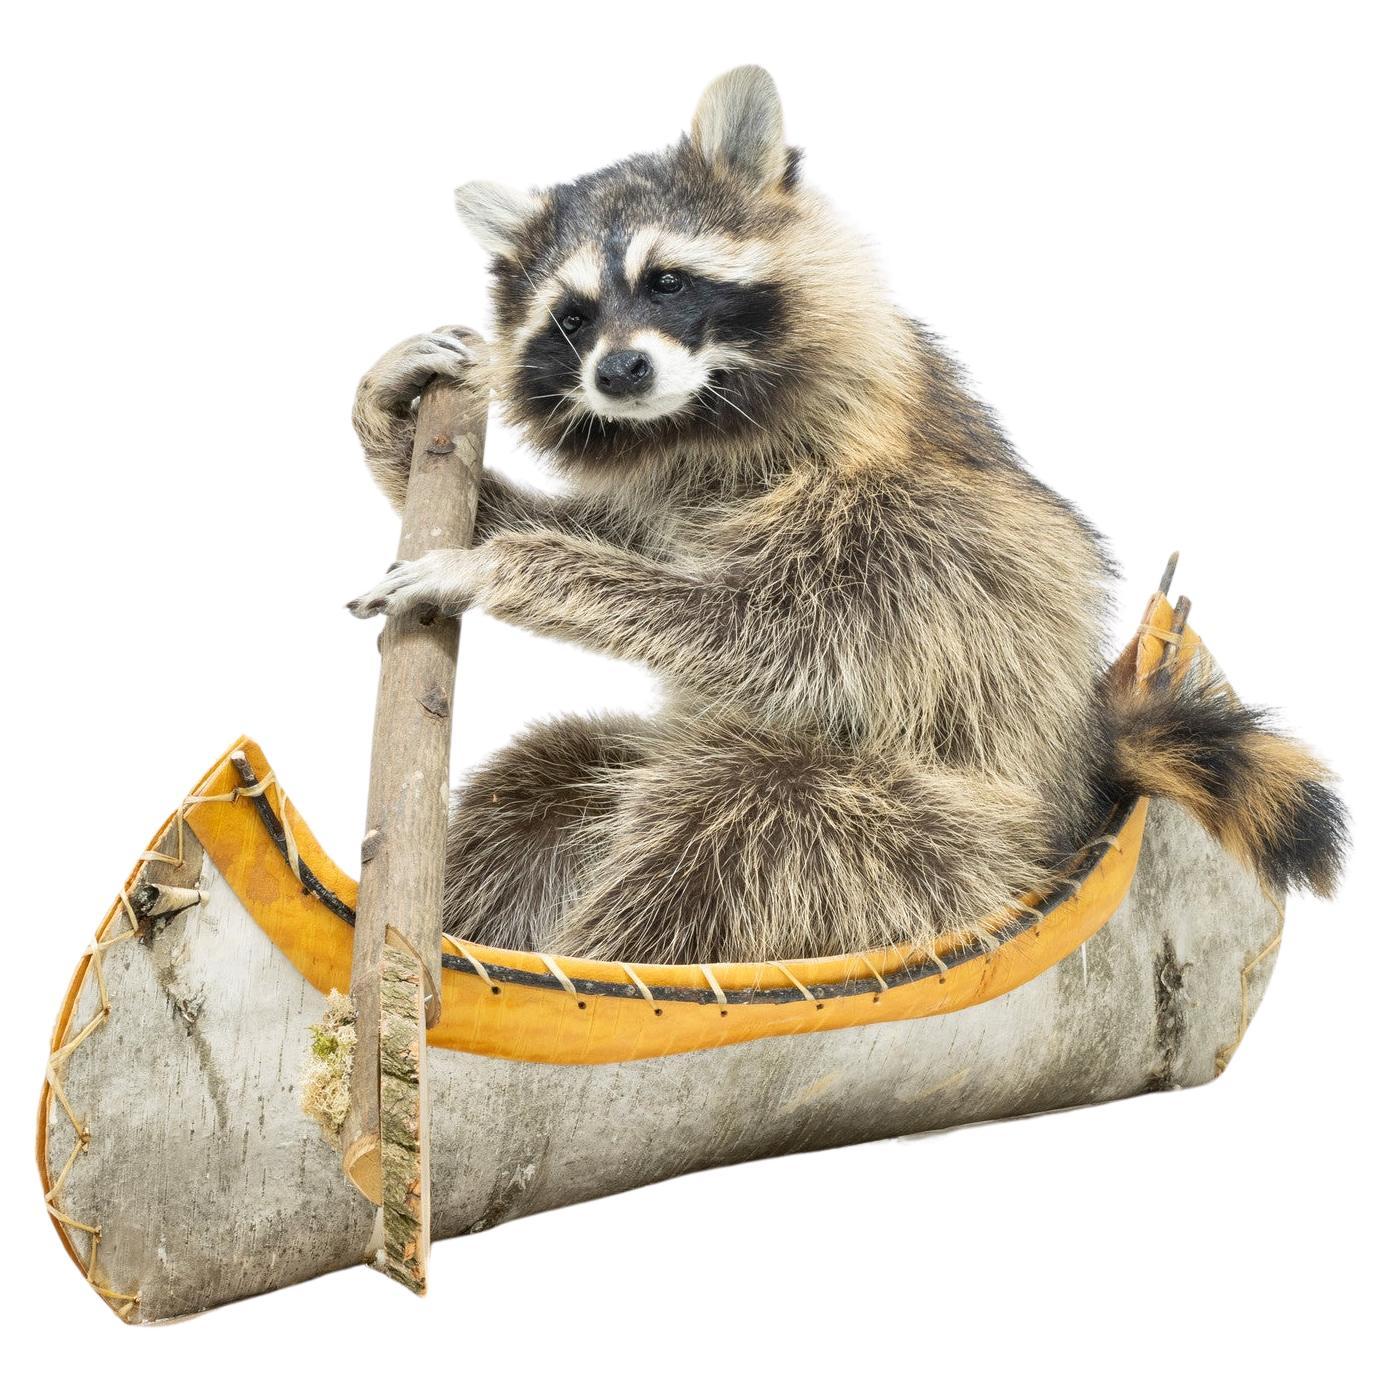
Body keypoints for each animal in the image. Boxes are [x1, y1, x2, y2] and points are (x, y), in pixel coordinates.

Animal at [348, 66, 1346, 965]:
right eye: (573, 316)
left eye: (668, 281)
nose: (620, 371)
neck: (706, 424)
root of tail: (1079, 802)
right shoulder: (683, 496)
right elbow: (630, 546)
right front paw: (402, 441)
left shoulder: (903, 529)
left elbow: (760, 630)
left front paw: (506, 565)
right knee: (545, 783)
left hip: (939, 843)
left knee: (740, 821)